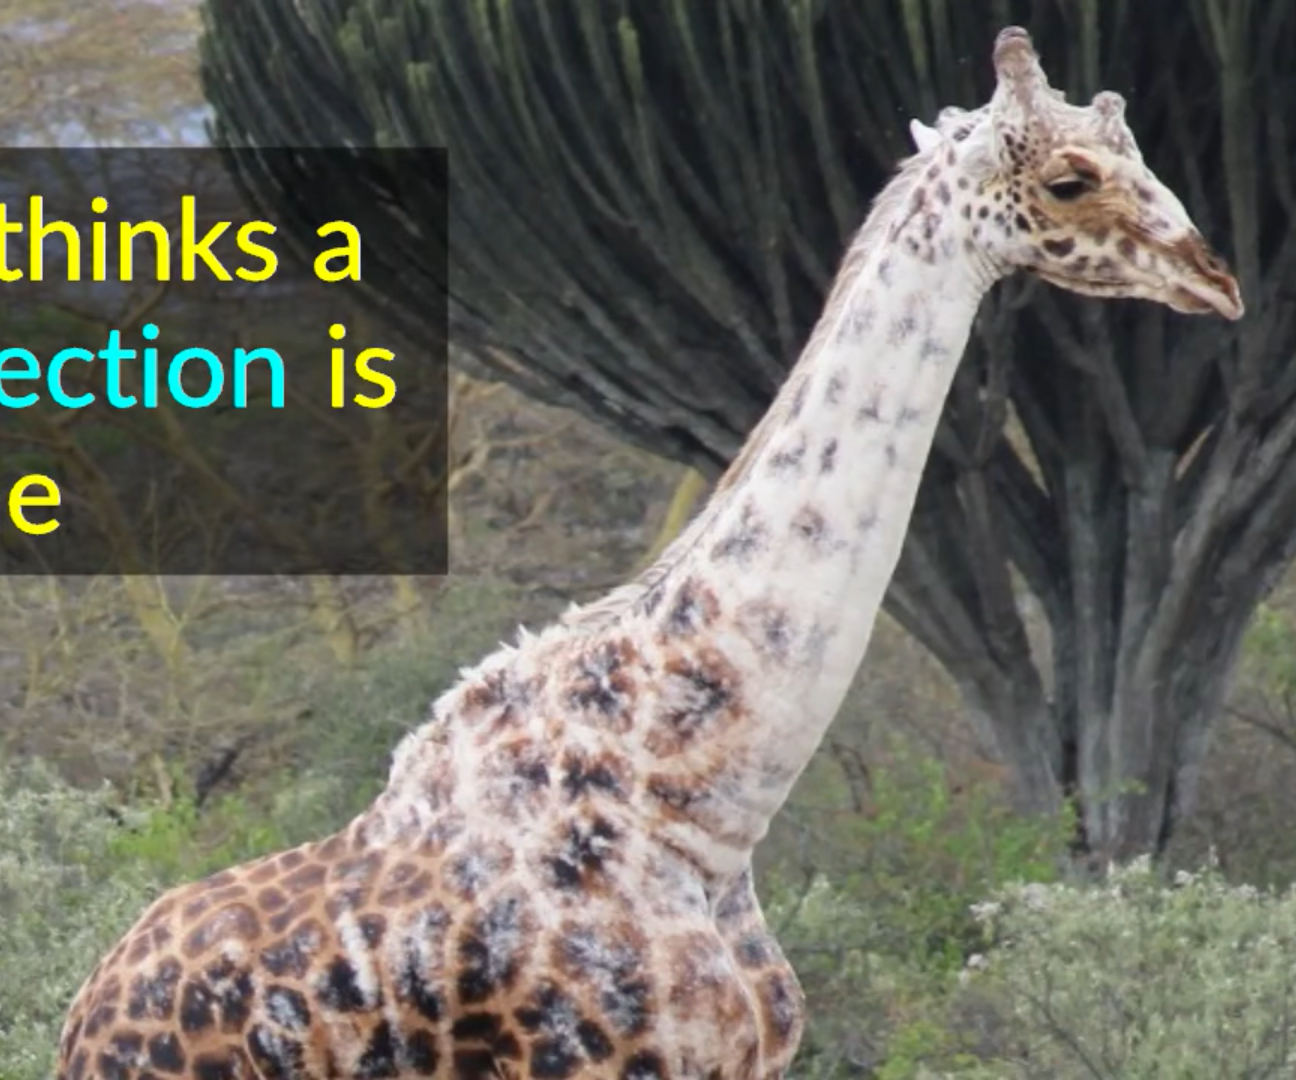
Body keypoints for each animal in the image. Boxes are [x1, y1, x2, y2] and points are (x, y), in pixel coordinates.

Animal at [56, 27, 1242, 1080]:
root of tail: (86, 1011)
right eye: (1073, 178)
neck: (697, 804)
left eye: (1138, 144)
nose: (1214, 276)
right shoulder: (595, 1062)